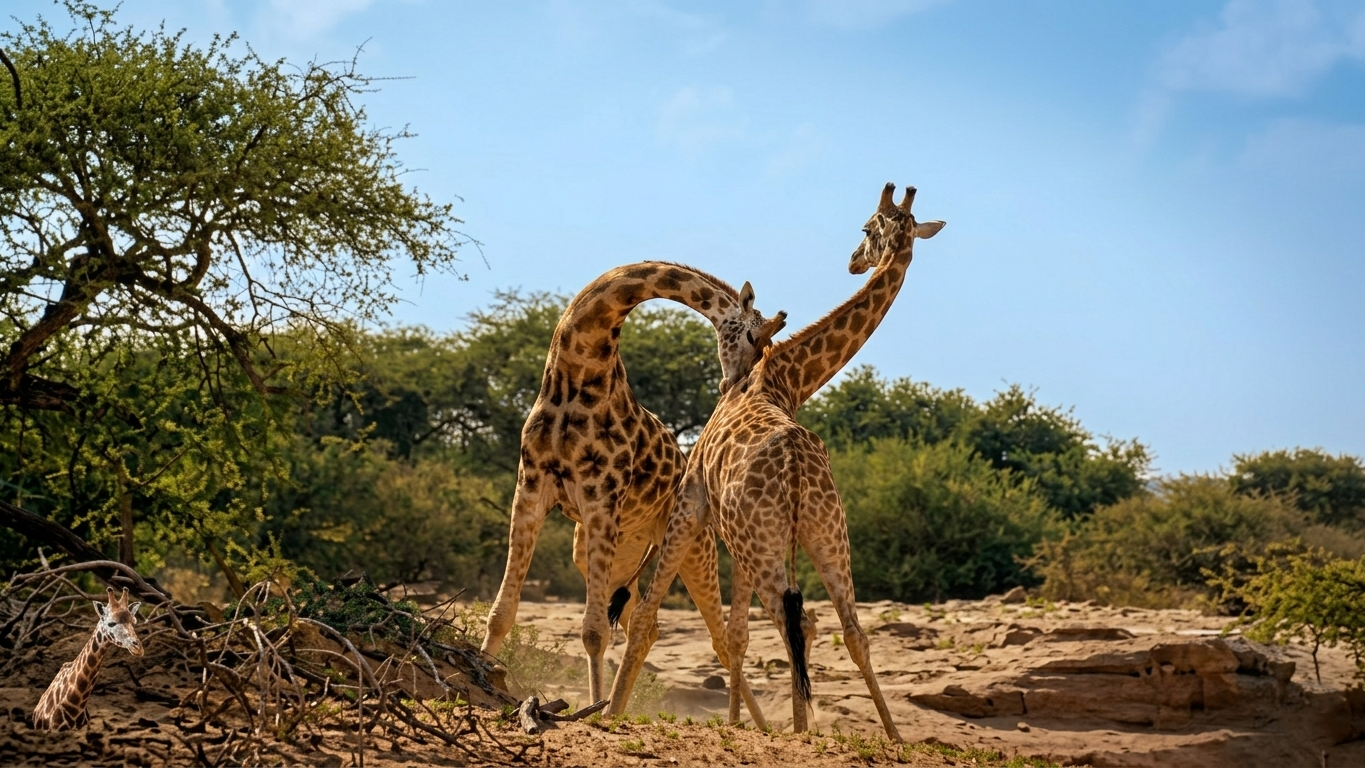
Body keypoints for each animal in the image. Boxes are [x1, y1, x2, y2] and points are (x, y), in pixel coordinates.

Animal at [482, 261, 788, 714]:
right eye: (753, 335)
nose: (735, 384)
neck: (577, 372)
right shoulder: (531, 487)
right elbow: (502, 611)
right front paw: (478, 672)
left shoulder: (601, 496)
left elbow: (592, 631)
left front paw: (590, 711)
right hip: (613, 552)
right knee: (645, 623)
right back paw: (618, 705)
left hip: (693, 549)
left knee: (715, 637)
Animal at [606, 183, 944, 740]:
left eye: (865, 229)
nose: (853, 260)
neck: (782, 378)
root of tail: (795, 471)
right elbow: (739, 631)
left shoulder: (693, 499)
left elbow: (662, 615)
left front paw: (615, 713)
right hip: (826, 533)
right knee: (844, 627)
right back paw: (886, 736)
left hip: (760, 542)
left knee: (789, 619)